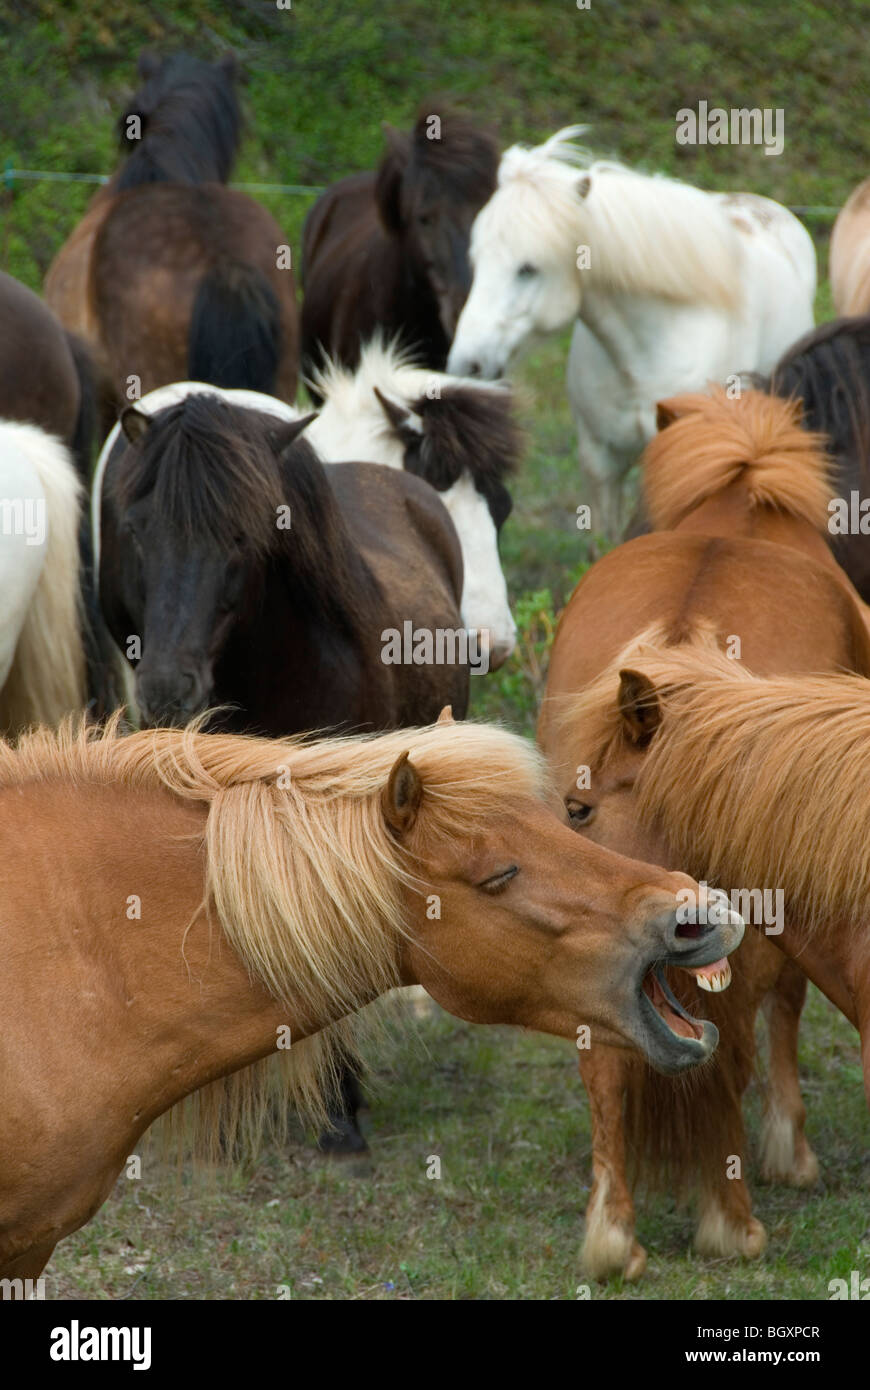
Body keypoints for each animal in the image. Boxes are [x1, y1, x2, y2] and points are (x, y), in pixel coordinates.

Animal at [537, 387, 870, 1280]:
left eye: (583, 807)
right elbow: (783, 1013)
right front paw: (788, 1150)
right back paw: (733, 1220)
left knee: (609, 1051)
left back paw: (614, 1238)